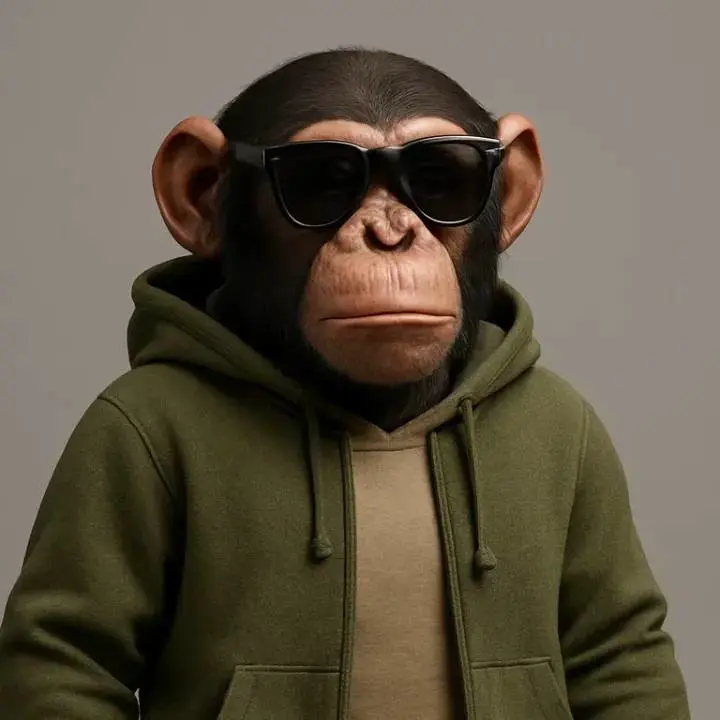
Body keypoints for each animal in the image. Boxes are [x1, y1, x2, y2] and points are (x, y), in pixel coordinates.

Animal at [0, 48, 690, 720]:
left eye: (441, 177)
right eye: (325, 179)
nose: (390, 233)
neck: (383, 423)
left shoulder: (582, 431)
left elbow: (615, 639)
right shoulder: (120, 430)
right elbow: (73, 648)